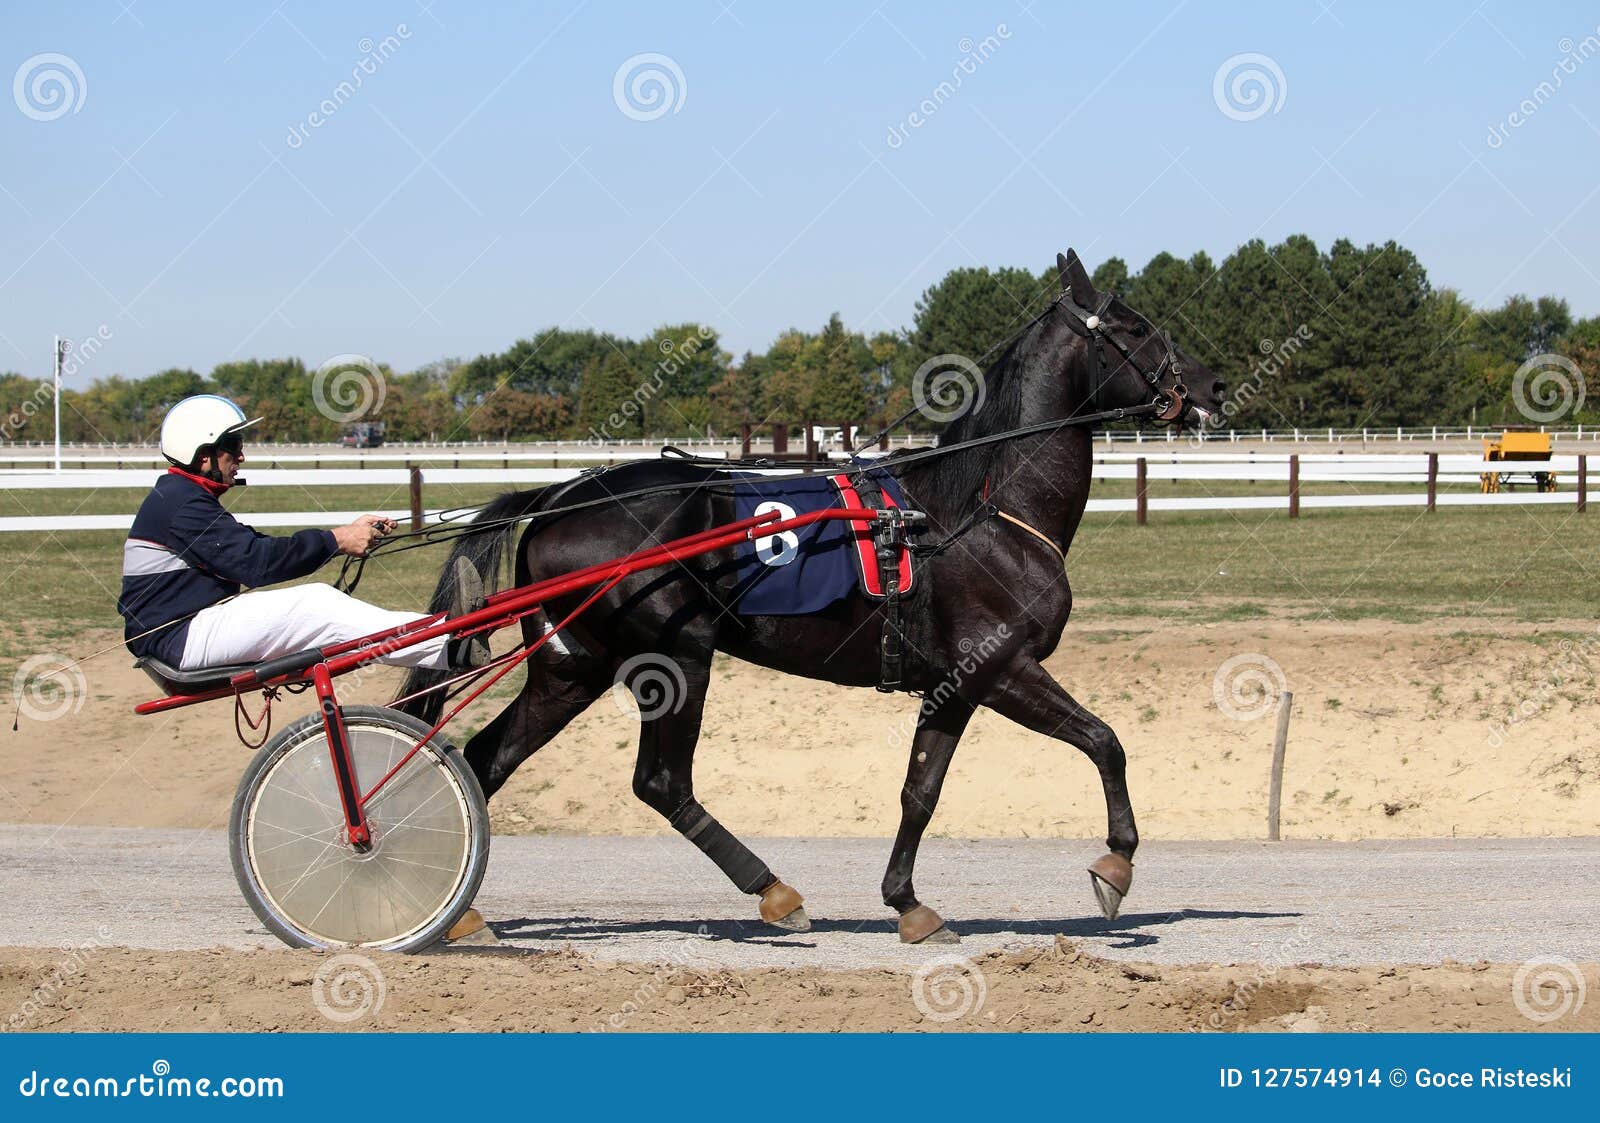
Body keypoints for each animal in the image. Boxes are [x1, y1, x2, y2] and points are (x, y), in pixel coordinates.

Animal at [396, 249, 1225, 943]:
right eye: (1136, 326)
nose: (1213, 386)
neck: (982, 508)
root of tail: (557, 494)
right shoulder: (1004, 666)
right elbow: (1106, 740)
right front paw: (1115, 865)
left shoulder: (955, 686)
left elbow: (920, 791)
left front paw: (909, 902)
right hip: (677, 653)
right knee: (661, 782)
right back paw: (774, 890)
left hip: (574, 667)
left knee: (486, 759)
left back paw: (461, 912)